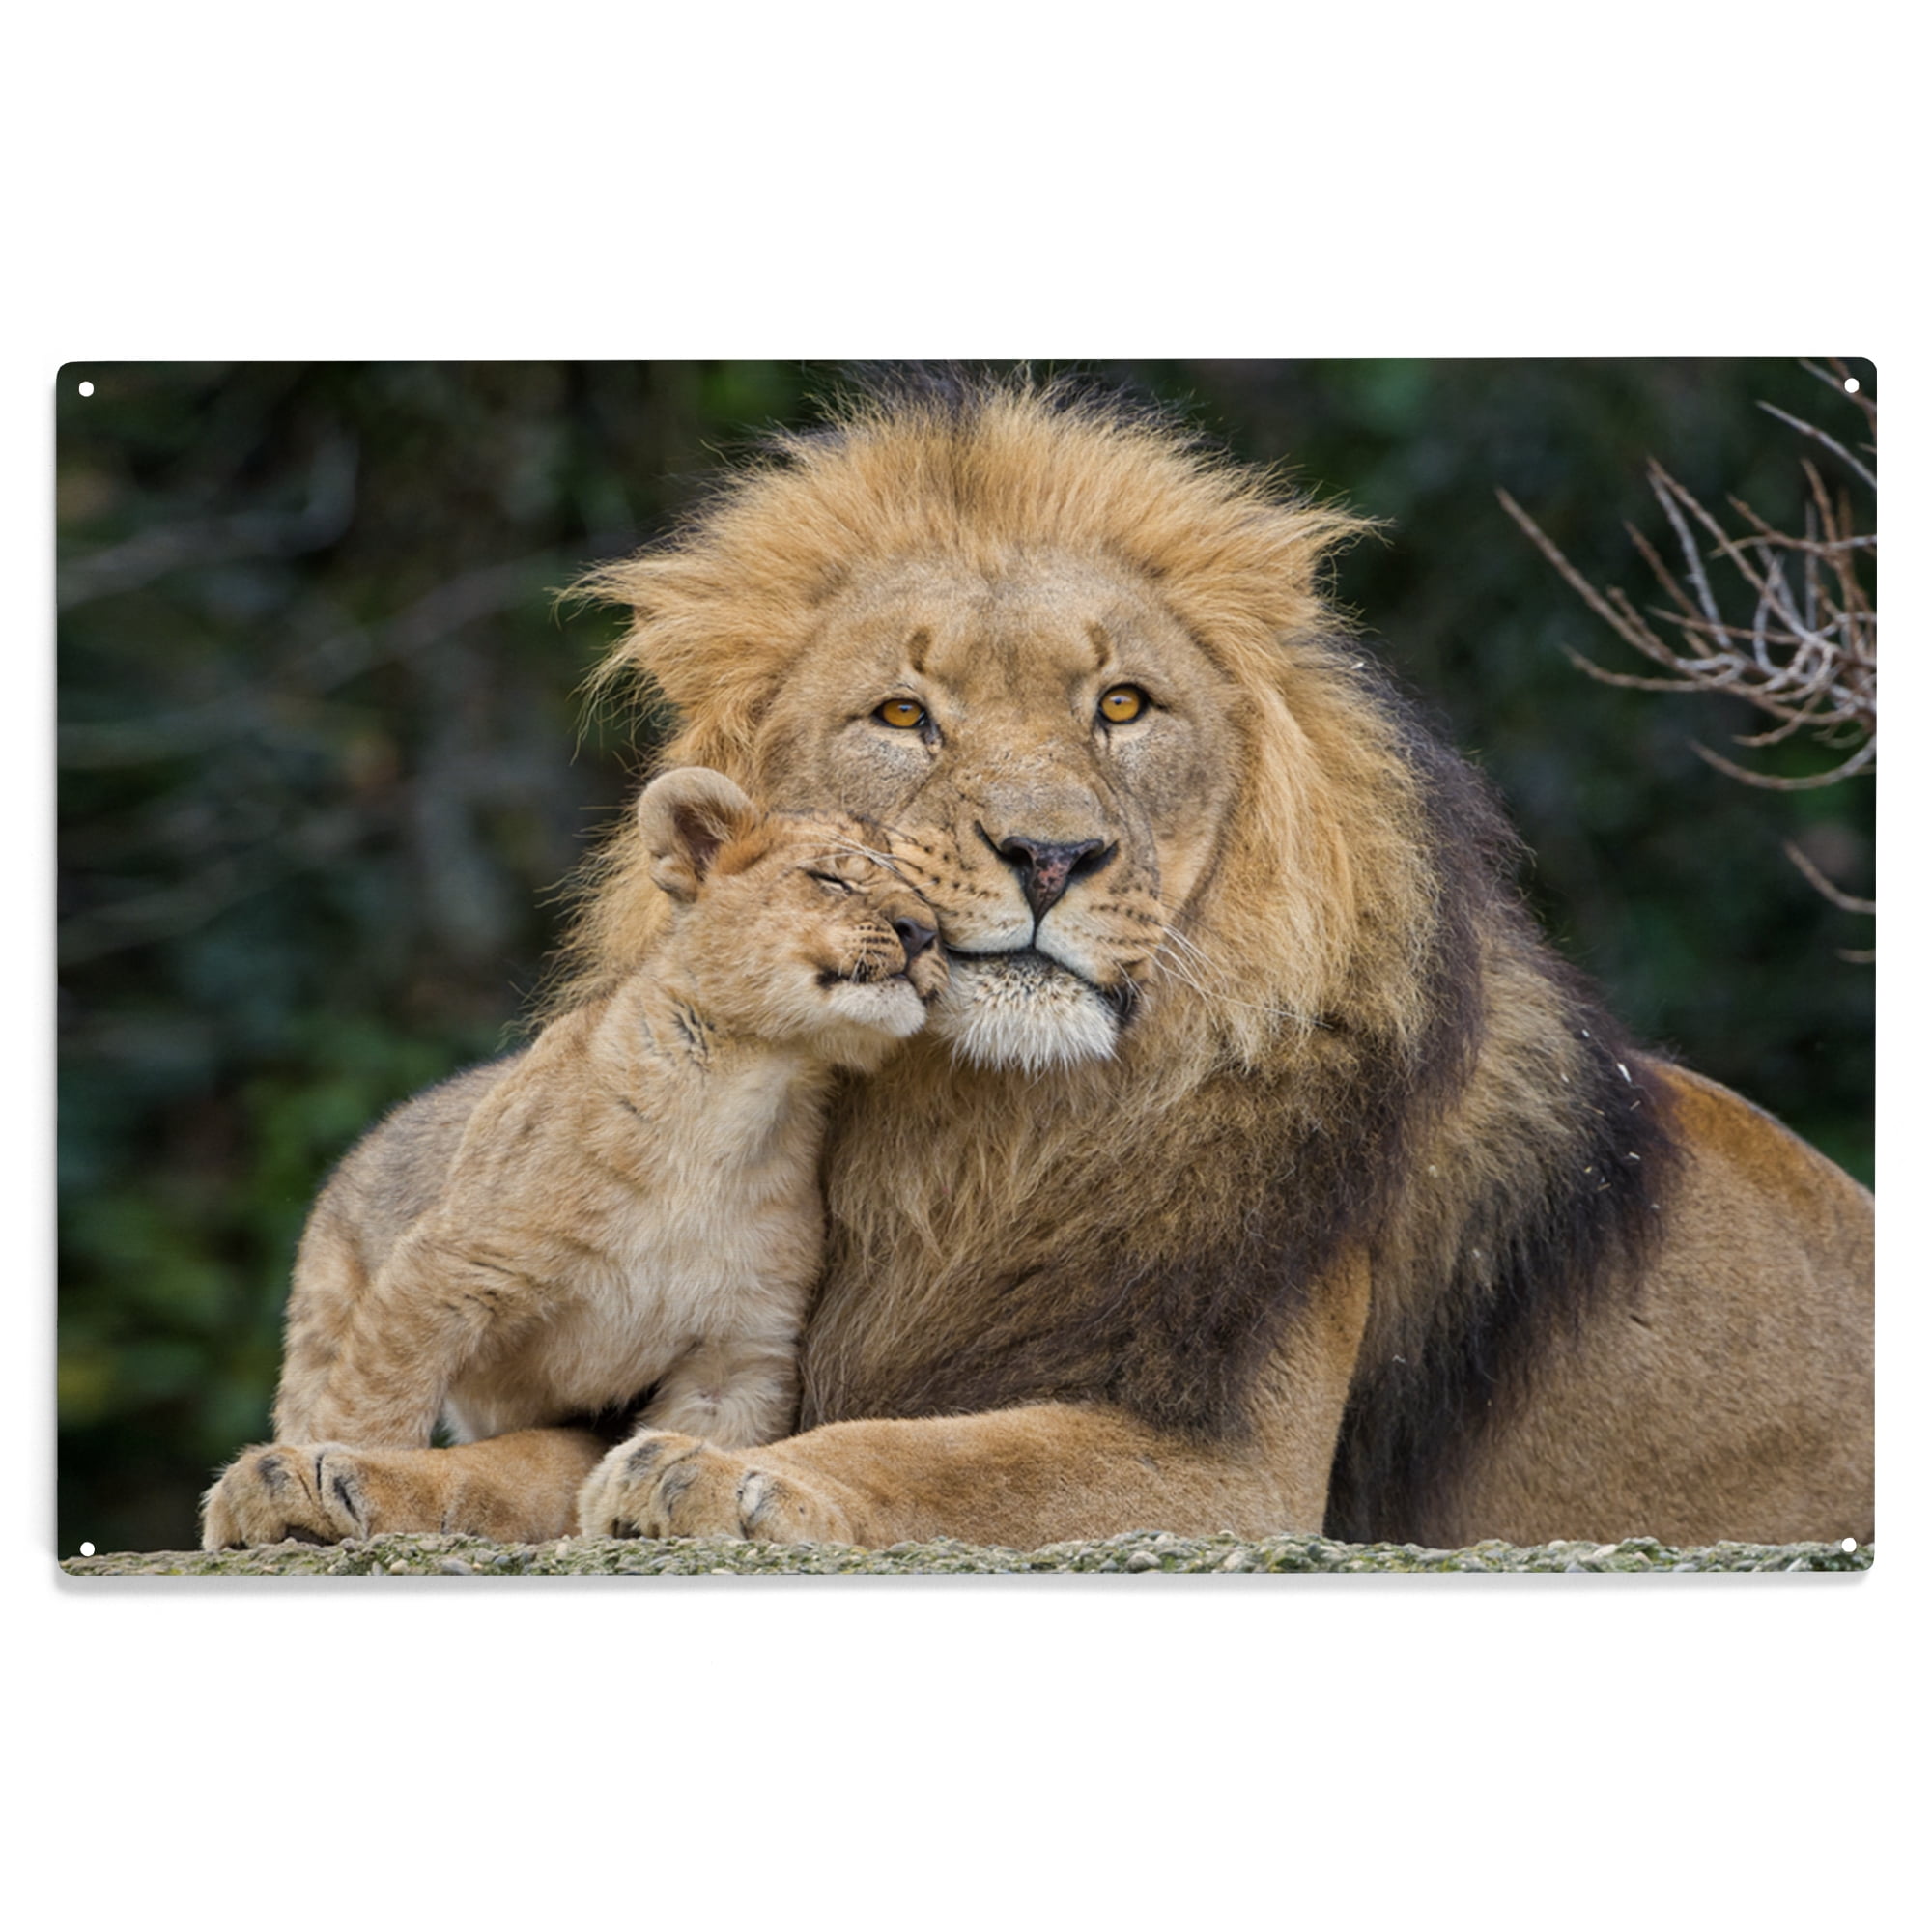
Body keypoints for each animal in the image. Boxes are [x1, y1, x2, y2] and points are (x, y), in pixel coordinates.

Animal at [200, 767, 946, 1549]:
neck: (746, 1099)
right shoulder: (445, 1269)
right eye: (832, 878)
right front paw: (335, 1475)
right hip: (327, 1306)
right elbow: (374, 1404)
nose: (923, 934)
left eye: (931, 905)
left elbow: (696, 1440)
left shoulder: (737, 1349)